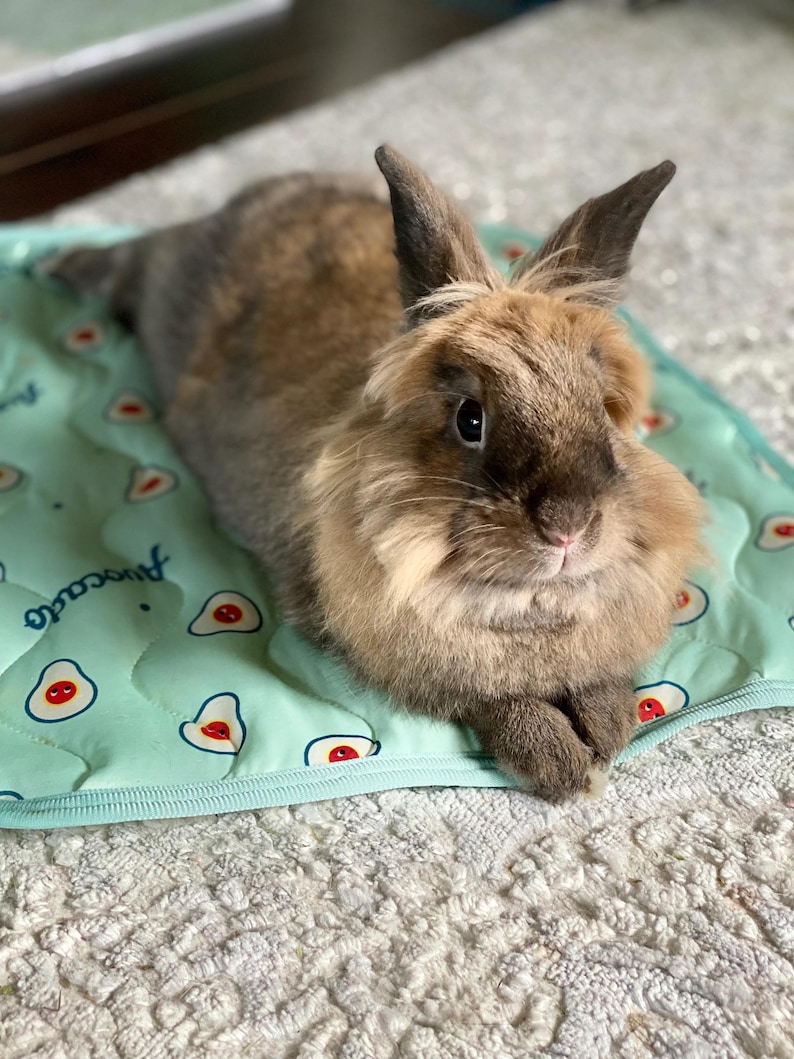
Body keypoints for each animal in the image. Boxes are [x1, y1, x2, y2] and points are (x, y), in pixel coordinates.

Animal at [45, 146, 704, 799]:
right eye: (470, 419)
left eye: (604, 411)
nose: (567, 528)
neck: (526, 603)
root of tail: (268, 190)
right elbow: (492, 701)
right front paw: (559, 763)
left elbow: (599, 679)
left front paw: (610, 726)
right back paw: (58, 264)